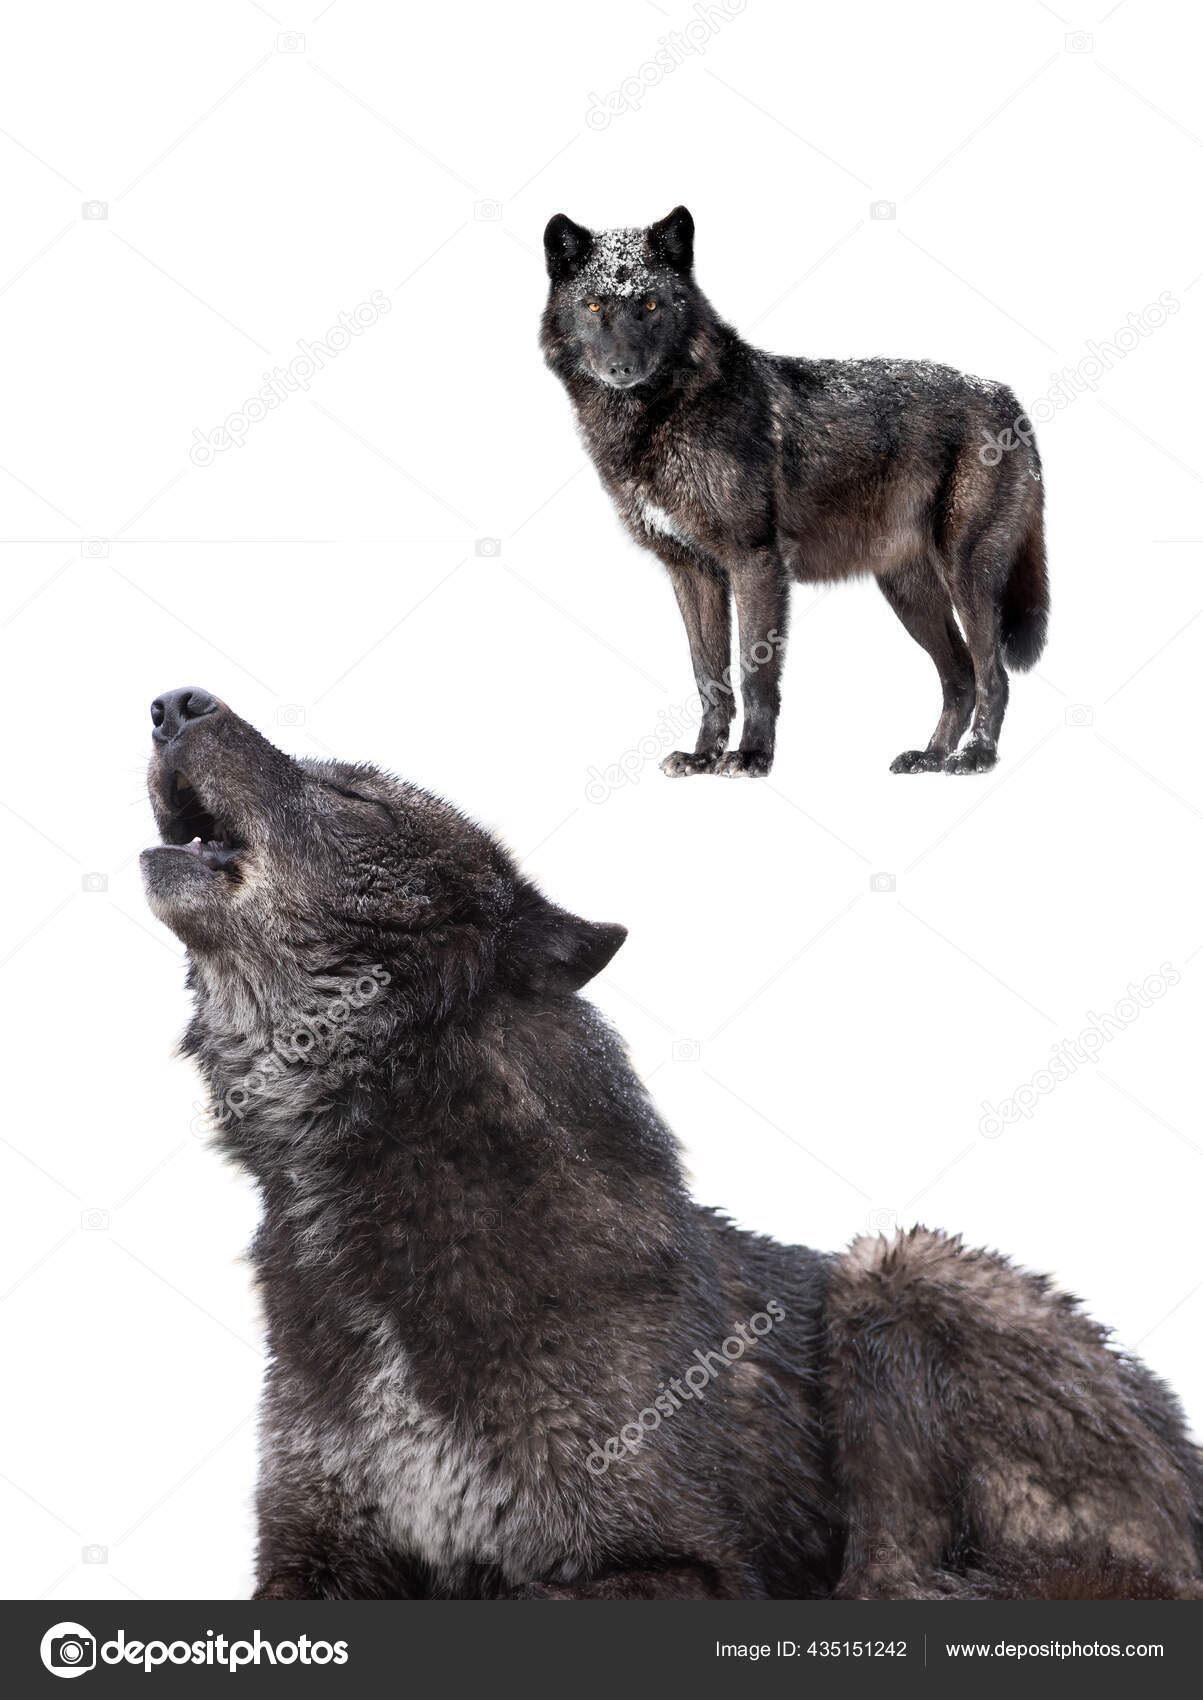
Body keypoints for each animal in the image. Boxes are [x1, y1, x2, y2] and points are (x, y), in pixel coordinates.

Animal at [541, 207, 1049, 777]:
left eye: (649, 304)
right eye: (594, 305)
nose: (622, 368)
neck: (665, 414)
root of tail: (1007, 398)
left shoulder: (756, 562)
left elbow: (754, 674)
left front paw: (751, 757)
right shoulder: (692, 571)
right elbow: (708, 677)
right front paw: (703, 757)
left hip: (966, 578)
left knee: (993, 674)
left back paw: (977, 755)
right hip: (909, 593)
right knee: (959, 676)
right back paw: (931, 757)